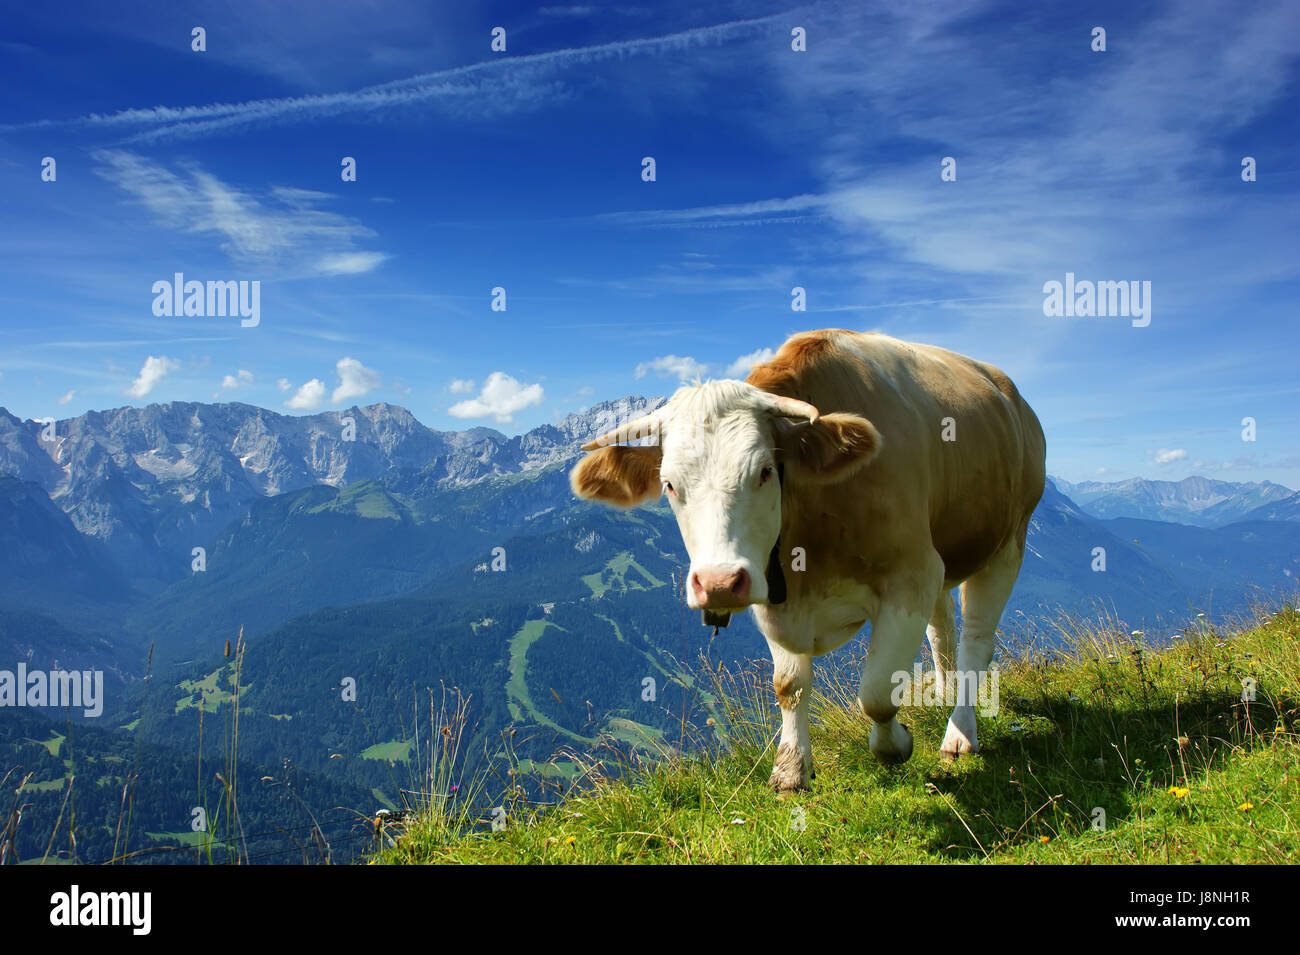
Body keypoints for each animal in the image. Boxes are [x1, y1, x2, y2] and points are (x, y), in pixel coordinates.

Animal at [569, 329, 1046, 792]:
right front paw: (791, 769)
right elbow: (789, 686)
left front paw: (895, 746)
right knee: (942, 628)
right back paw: (942, 697)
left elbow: (877, 691)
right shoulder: (774, 592)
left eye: (764, 471)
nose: (719, 583)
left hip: (1008, 540)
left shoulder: (911, 574)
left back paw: (959, 733)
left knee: (976, 641)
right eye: (669, 484)